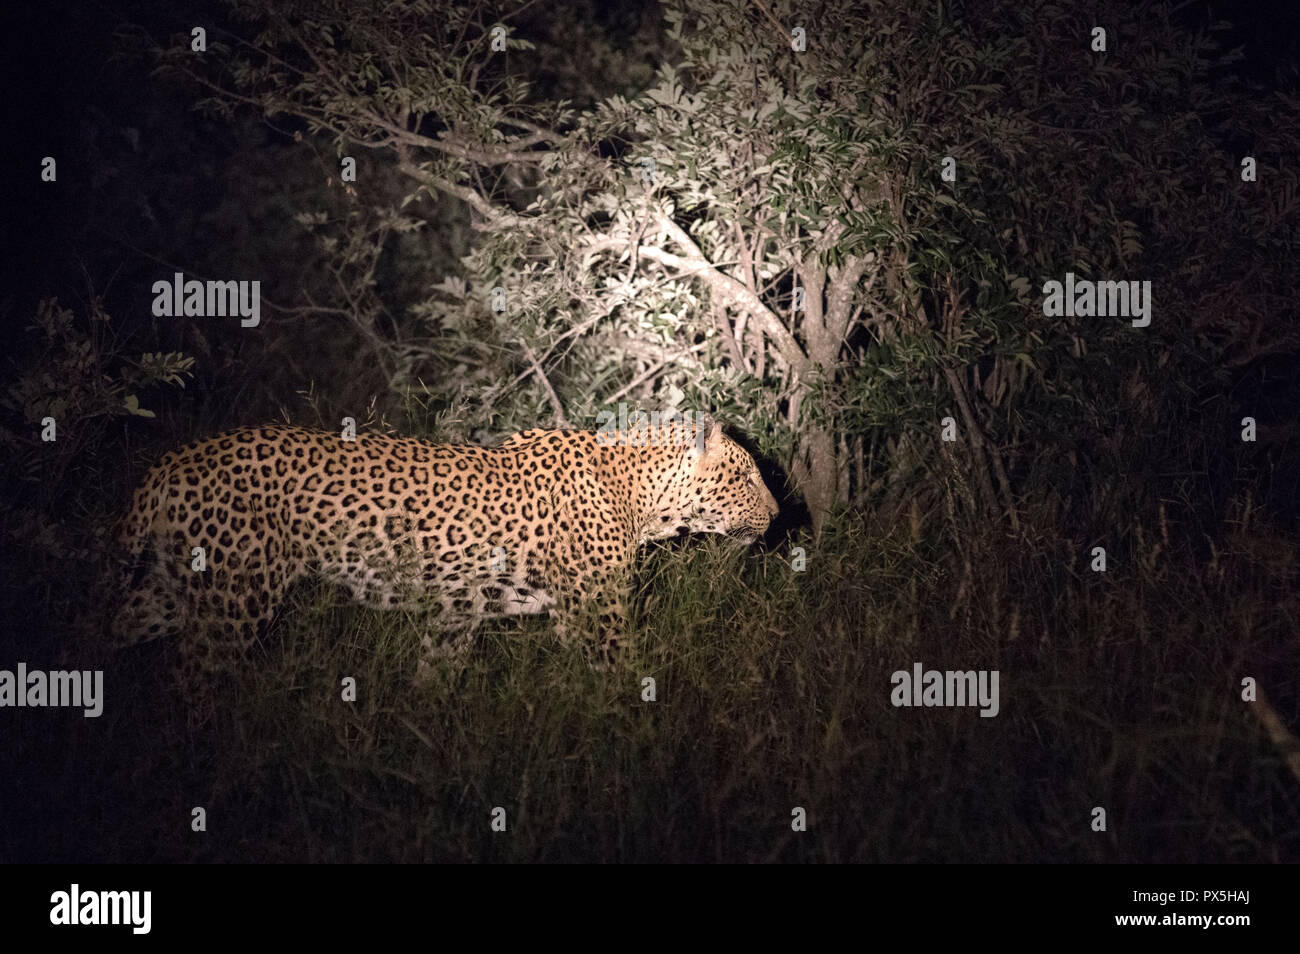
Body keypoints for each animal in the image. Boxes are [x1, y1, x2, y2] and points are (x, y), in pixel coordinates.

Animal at [111, 417, 779, 678]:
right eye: (746, 475)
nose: (777, 515)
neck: (636, 494)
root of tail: (174, 461)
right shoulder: (595, 617)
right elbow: (624, 681)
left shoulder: (459, 613)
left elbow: (433, 678)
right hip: (233, 602)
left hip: (171, 589)